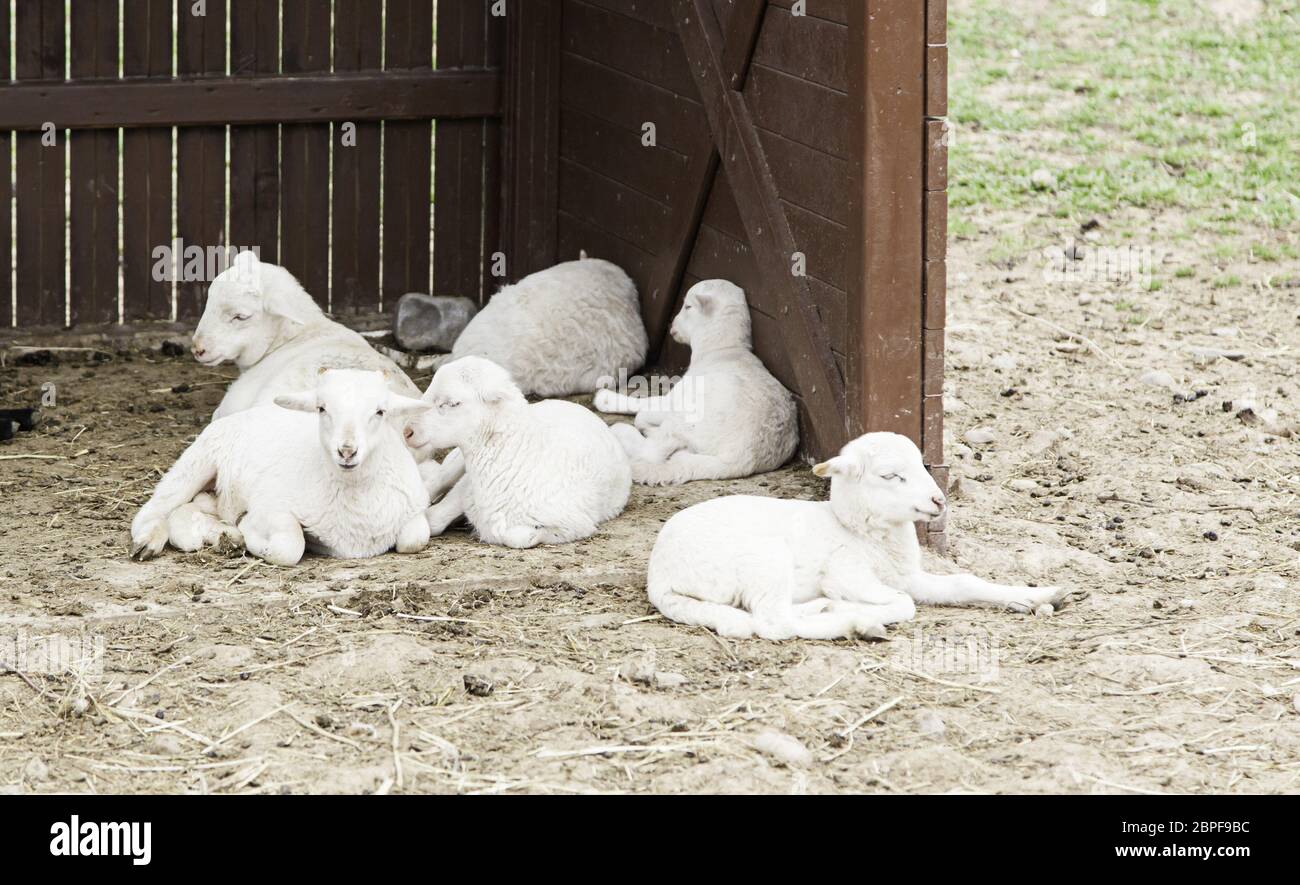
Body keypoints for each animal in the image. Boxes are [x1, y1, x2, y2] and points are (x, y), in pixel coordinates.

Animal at [130, 369, 432, 566]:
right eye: (322, 408)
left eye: (380, 411)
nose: (347, 451)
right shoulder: (271, 506)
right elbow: (289, 548)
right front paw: (250, 532)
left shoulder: (412, 509)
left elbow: (416, 538)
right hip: (197, 461)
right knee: (154, 510)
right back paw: (149, 542)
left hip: (216, 494)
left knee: (189, 509)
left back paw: (224, 537)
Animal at [403, 356, 632, 549]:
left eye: (452, 403)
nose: (407, 432)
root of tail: (575, 406)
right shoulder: (467, 487)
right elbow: (434, 519)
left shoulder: (573, 525)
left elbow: (517, 537)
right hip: (456, 463)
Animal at [594, 279, 797, 485]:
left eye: (688, 307)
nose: (673, 325)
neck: (722, 348)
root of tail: (741, 460)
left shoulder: (678, 398)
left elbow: (644, 409)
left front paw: (605, 400)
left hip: (688, 421)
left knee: (649, 454)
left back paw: (623, 432)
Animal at [645, 432, 1071, 640]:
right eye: (890, 475)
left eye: (922, 464)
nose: (938, 500)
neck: (863, 534)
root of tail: (659, 578)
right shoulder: (846, 572)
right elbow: (903, 604)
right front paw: (859, 613)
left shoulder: (906, 576)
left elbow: (962, 583)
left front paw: (1039, 595)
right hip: (763, 560)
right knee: (773, 623)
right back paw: (850, 621)